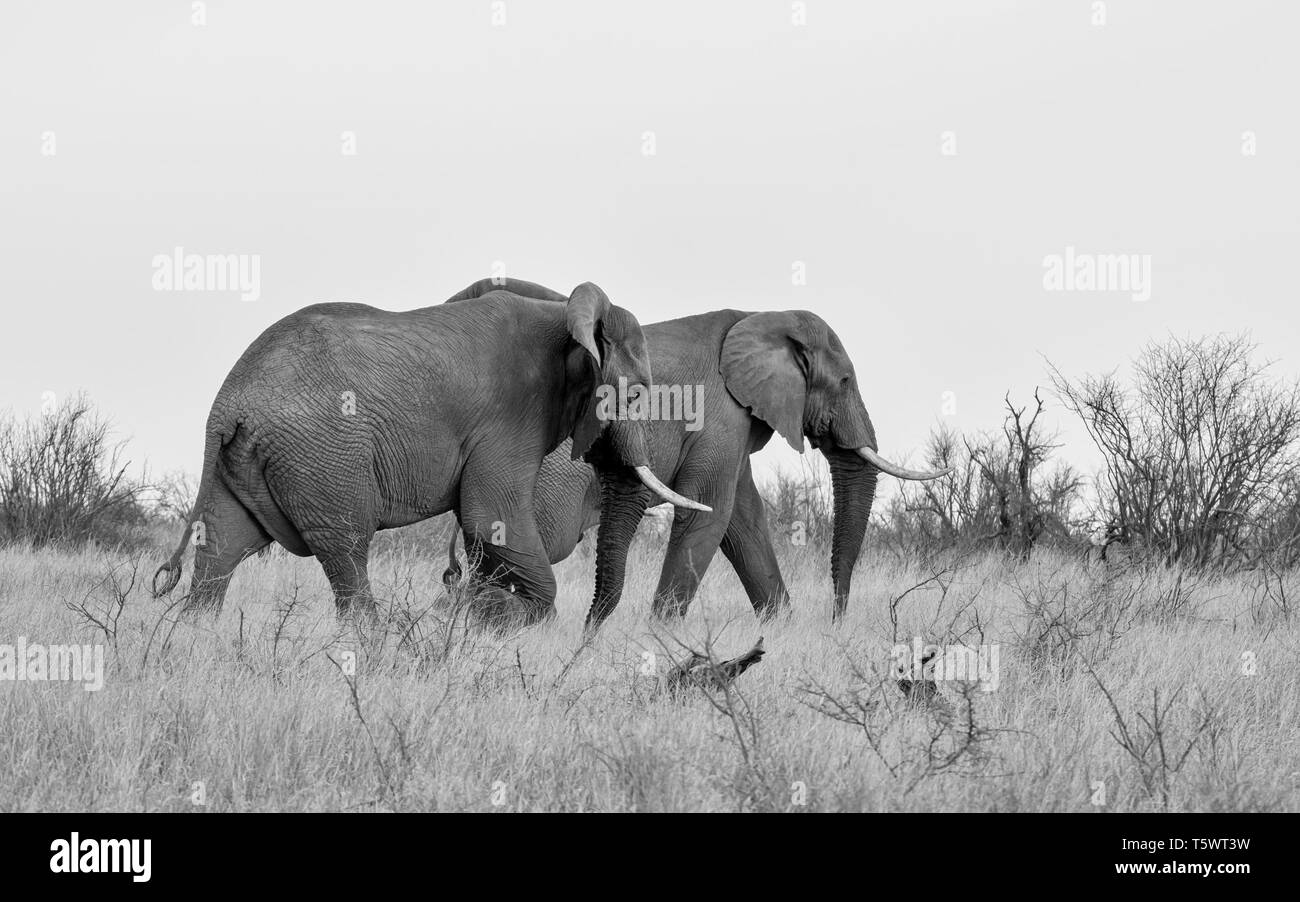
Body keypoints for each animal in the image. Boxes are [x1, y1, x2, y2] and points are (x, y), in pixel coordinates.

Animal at [152, 277, 709, 623]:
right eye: (635, 395)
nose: (588, 635)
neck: (563, 314)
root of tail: (228, 403)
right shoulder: (510, 417)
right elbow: (489, 516)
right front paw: (498, 621)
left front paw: (483, 617)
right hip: (321, 454)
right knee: (347, 550)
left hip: (245, 459)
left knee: (222, 548)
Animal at [449, 301, 951, 629]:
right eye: (845, 381)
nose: (837, 619)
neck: (762, 315)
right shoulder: (720, 414)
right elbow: (710, 512)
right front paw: (661, 634)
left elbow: (745, 520)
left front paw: (779, 628)